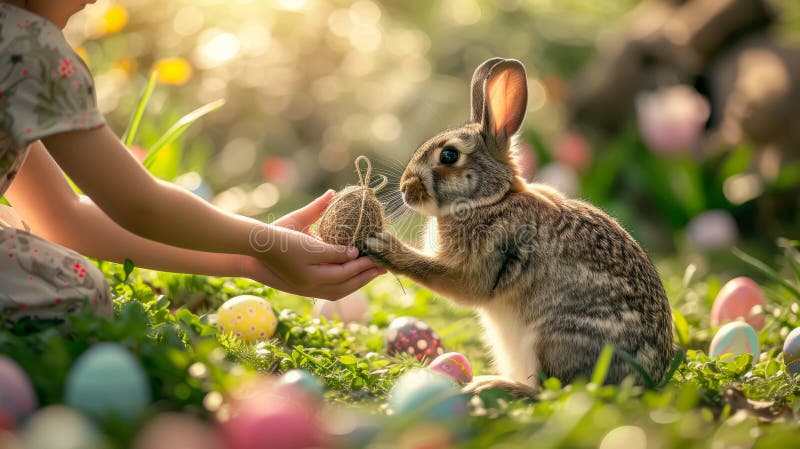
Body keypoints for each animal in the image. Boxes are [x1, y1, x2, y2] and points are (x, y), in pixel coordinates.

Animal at [363, 57, 674, 397]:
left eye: (449, 155)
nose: (406, 189)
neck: (490, 200)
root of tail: (645, 381)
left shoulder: (480, 264)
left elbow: (442, 276)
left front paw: (382, 245)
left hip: (551, 337)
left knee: (552, 389)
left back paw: (492, 385)